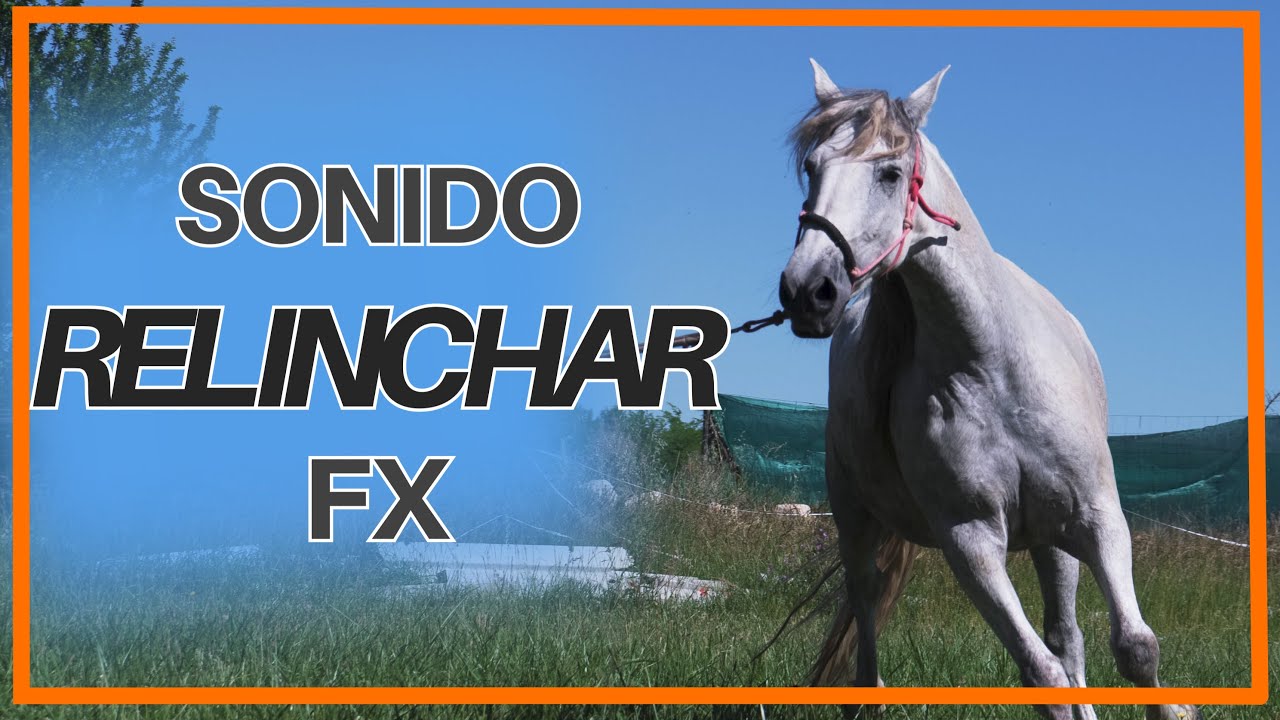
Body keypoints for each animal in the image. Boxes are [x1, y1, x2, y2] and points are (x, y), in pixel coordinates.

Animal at [776, 61, 1200, 720]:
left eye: (889, 171)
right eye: (812, 168)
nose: (807, 290)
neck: (989, 365)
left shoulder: (1097, 517)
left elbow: (1134, 648)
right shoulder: (970, 541)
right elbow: (1042, 675)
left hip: (1054, 544)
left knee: (1068, 637)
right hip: (855, 525)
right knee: (867, 620)